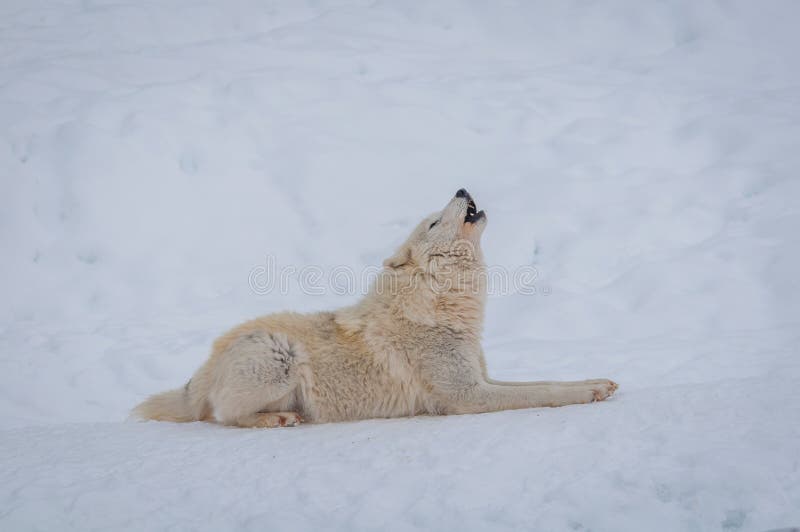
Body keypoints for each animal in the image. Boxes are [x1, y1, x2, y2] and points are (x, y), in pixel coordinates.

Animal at [133, 189, 617, 428]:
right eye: (434, 222)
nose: (461, 187)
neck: (440, 304)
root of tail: (202, 368)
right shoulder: (467, 396)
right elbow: (543, 392)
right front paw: (587, 394)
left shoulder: (481, 377)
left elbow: (547, 379)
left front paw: (597, 382)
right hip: (278, 356)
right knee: (225, 417)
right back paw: (278, 418)